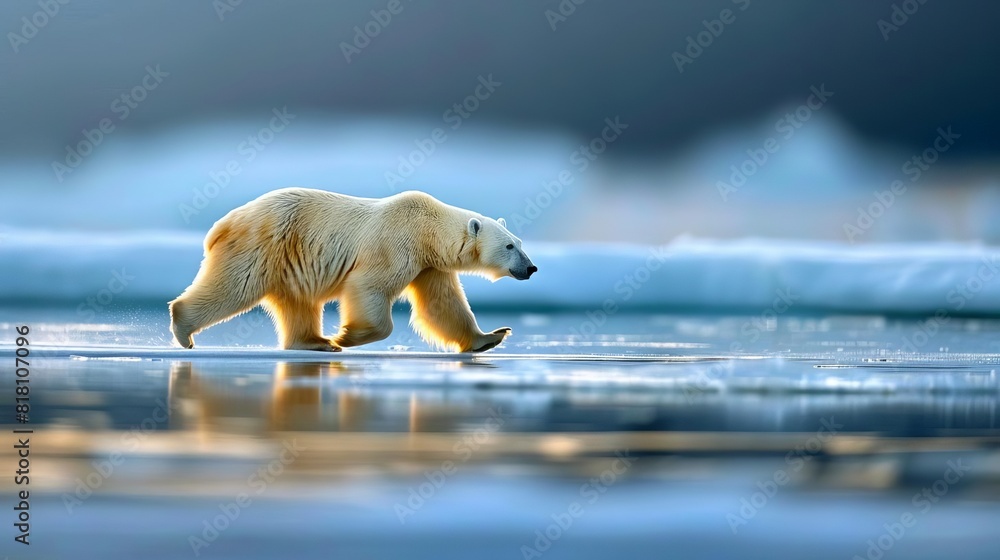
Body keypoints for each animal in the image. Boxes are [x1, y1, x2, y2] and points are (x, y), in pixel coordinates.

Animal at [169, 188, 537, 352]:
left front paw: (490, 337)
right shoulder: (397, 244)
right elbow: (369, 287)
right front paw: (347, 335)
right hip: (264, 245)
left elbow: (443, 305)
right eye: (509, 246)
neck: (427, 229)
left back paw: (314, 342)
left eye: (520, 241)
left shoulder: (428, 265)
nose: (531, 267)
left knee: (297, 303)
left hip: (287, 262)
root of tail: (223, 224)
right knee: (235, 285)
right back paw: (183, 329)